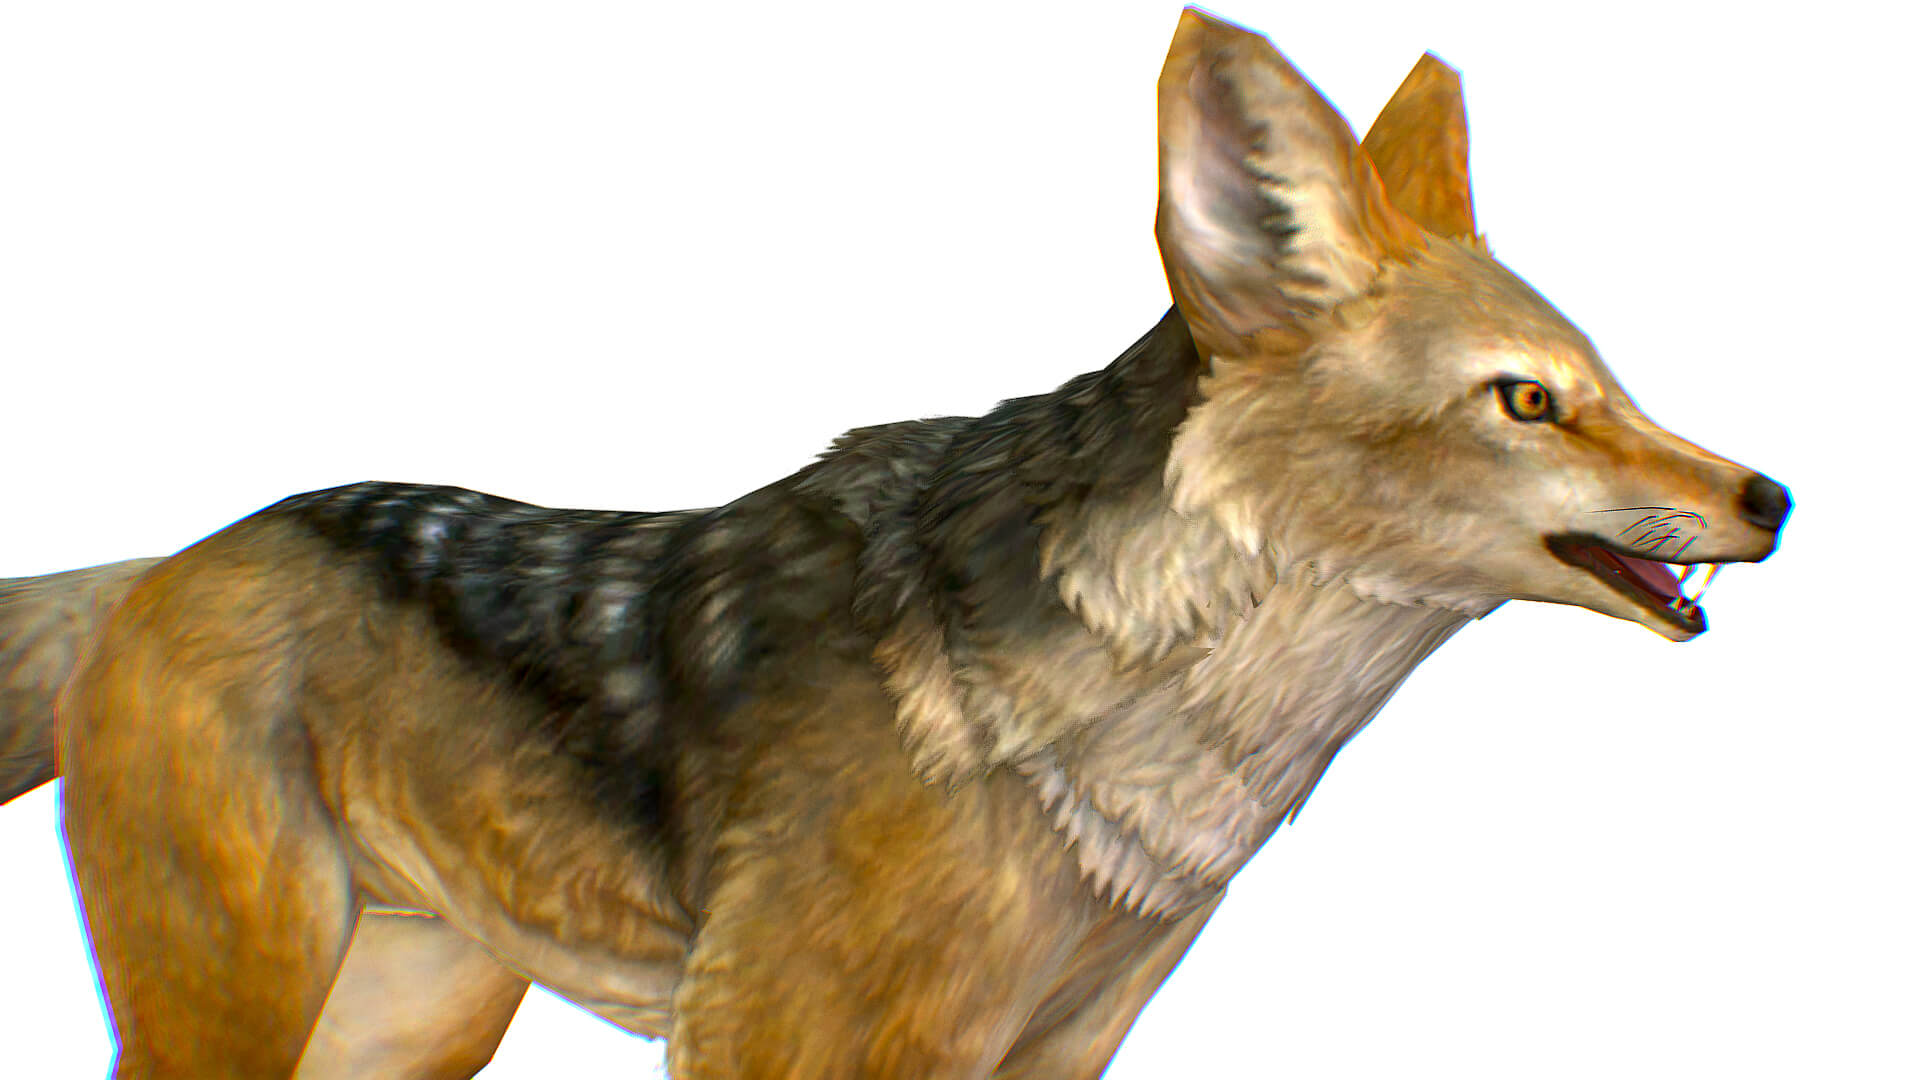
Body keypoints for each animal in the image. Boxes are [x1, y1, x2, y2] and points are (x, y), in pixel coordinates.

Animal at [0, 9, 1789, 1079]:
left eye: (1609, 382)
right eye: (1529, 402)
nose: (1773, 498)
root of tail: (173, 558)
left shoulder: (1053, 1056)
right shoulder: (765, 1047)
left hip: (410, 1020)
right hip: (237, 1011)